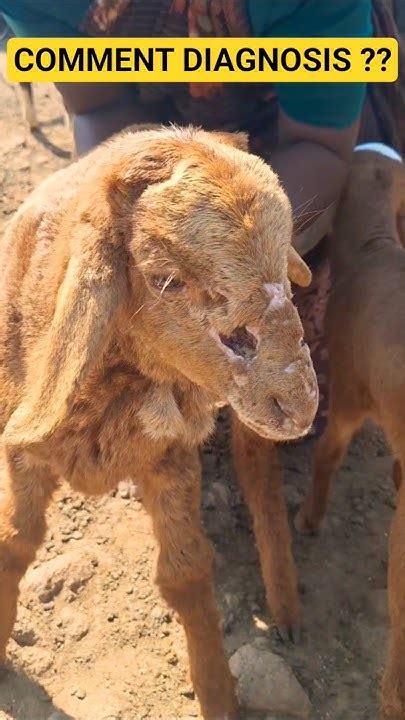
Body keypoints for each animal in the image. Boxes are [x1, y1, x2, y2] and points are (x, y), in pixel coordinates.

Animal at [0, 125, 318, 719]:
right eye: (166, 281)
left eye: (284, 272)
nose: (300, 401)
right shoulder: (21, 450)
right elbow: (14, 542)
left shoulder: (171, 458)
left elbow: (186, 572)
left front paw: (218, 695)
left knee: (260, 477)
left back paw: (285, 607)